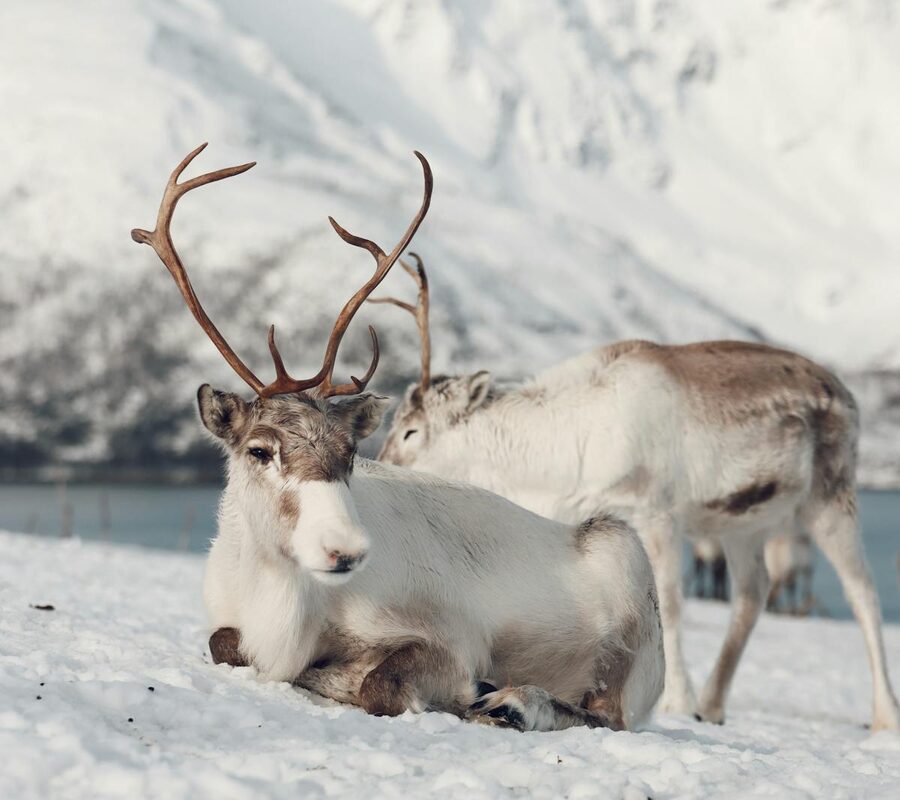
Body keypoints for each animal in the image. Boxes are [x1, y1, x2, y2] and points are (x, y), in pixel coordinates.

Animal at [129, 145, 665, 733]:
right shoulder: (231, 622)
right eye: (259, 450)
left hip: (623, 570)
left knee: (606, 713)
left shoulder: (453, 639)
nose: (345, 548)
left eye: (350, 452)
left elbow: (377, 683)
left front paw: (457, 692)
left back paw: (513, 703)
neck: (285, 604)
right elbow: (223, 644)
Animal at [371, 255, 900, 731]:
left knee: (863, 592)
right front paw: (689, 703)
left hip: (831, 494)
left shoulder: (655, 511)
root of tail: (846, 393)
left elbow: (673, 602)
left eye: (412, 431)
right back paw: (713, 705)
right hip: (743, 524)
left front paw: (677, 702)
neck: (559, 455)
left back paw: (884, 716)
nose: (382, 463)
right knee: (753, 593)